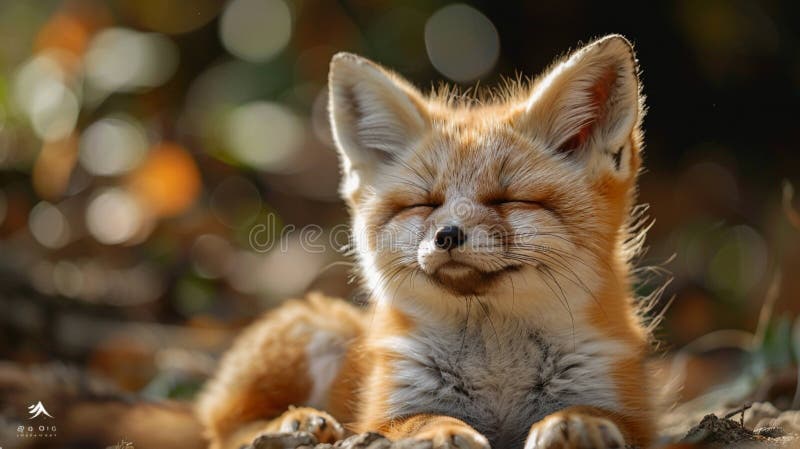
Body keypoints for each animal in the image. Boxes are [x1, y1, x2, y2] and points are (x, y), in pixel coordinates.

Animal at [196, 34, 657, 449]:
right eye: (423, 204)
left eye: (508, 199)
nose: (447, 234)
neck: (498, 371)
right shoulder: (388, 411)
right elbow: (424, 418)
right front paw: (442, 432)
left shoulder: (628, 407)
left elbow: (597, 412)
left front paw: (576, 422)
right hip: (318, 326)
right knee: (225, 428)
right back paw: (296, 422)